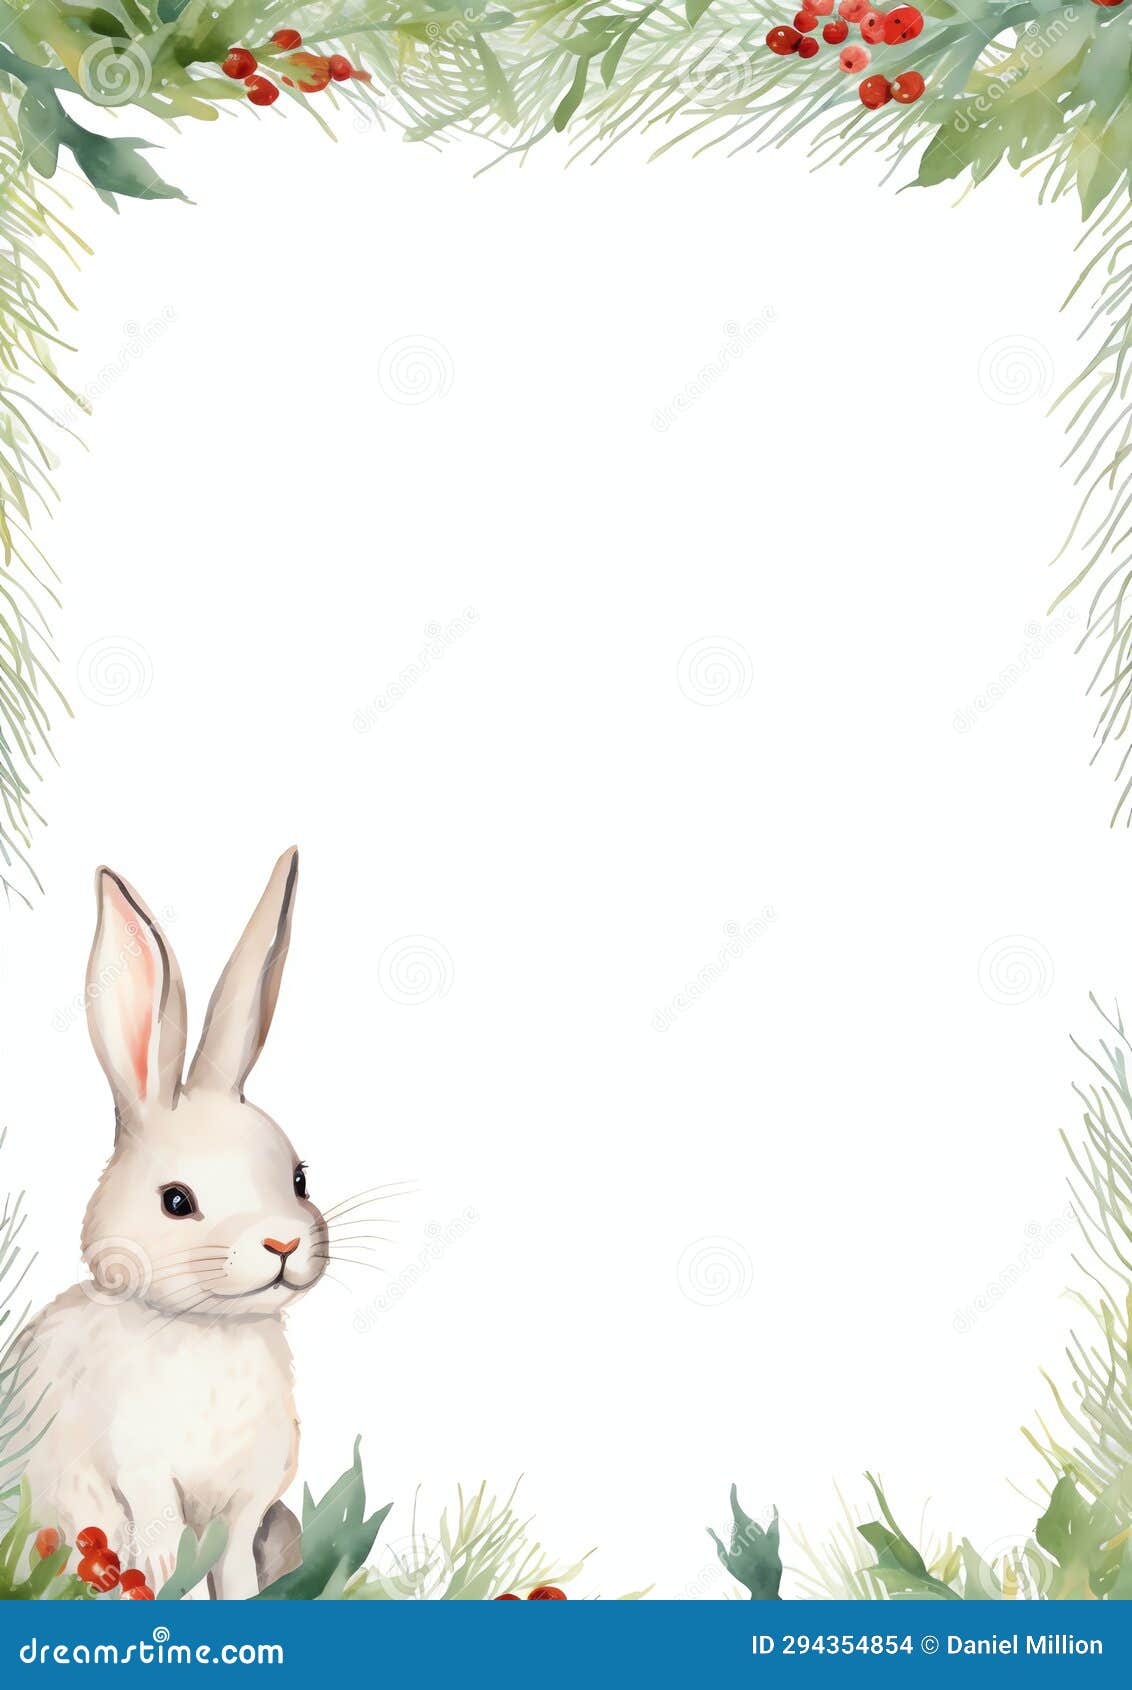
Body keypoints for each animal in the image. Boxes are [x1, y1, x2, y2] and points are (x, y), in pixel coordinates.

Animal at [18, 847, 327, 1599]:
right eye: (177, 1201)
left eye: (300, 1178)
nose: (283, 1242)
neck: (208, 1330)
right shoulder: (140, 1471)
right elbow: (160, 1539)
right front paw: (161, 1580)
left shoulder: (250, 1504)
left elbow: (236, 1562)